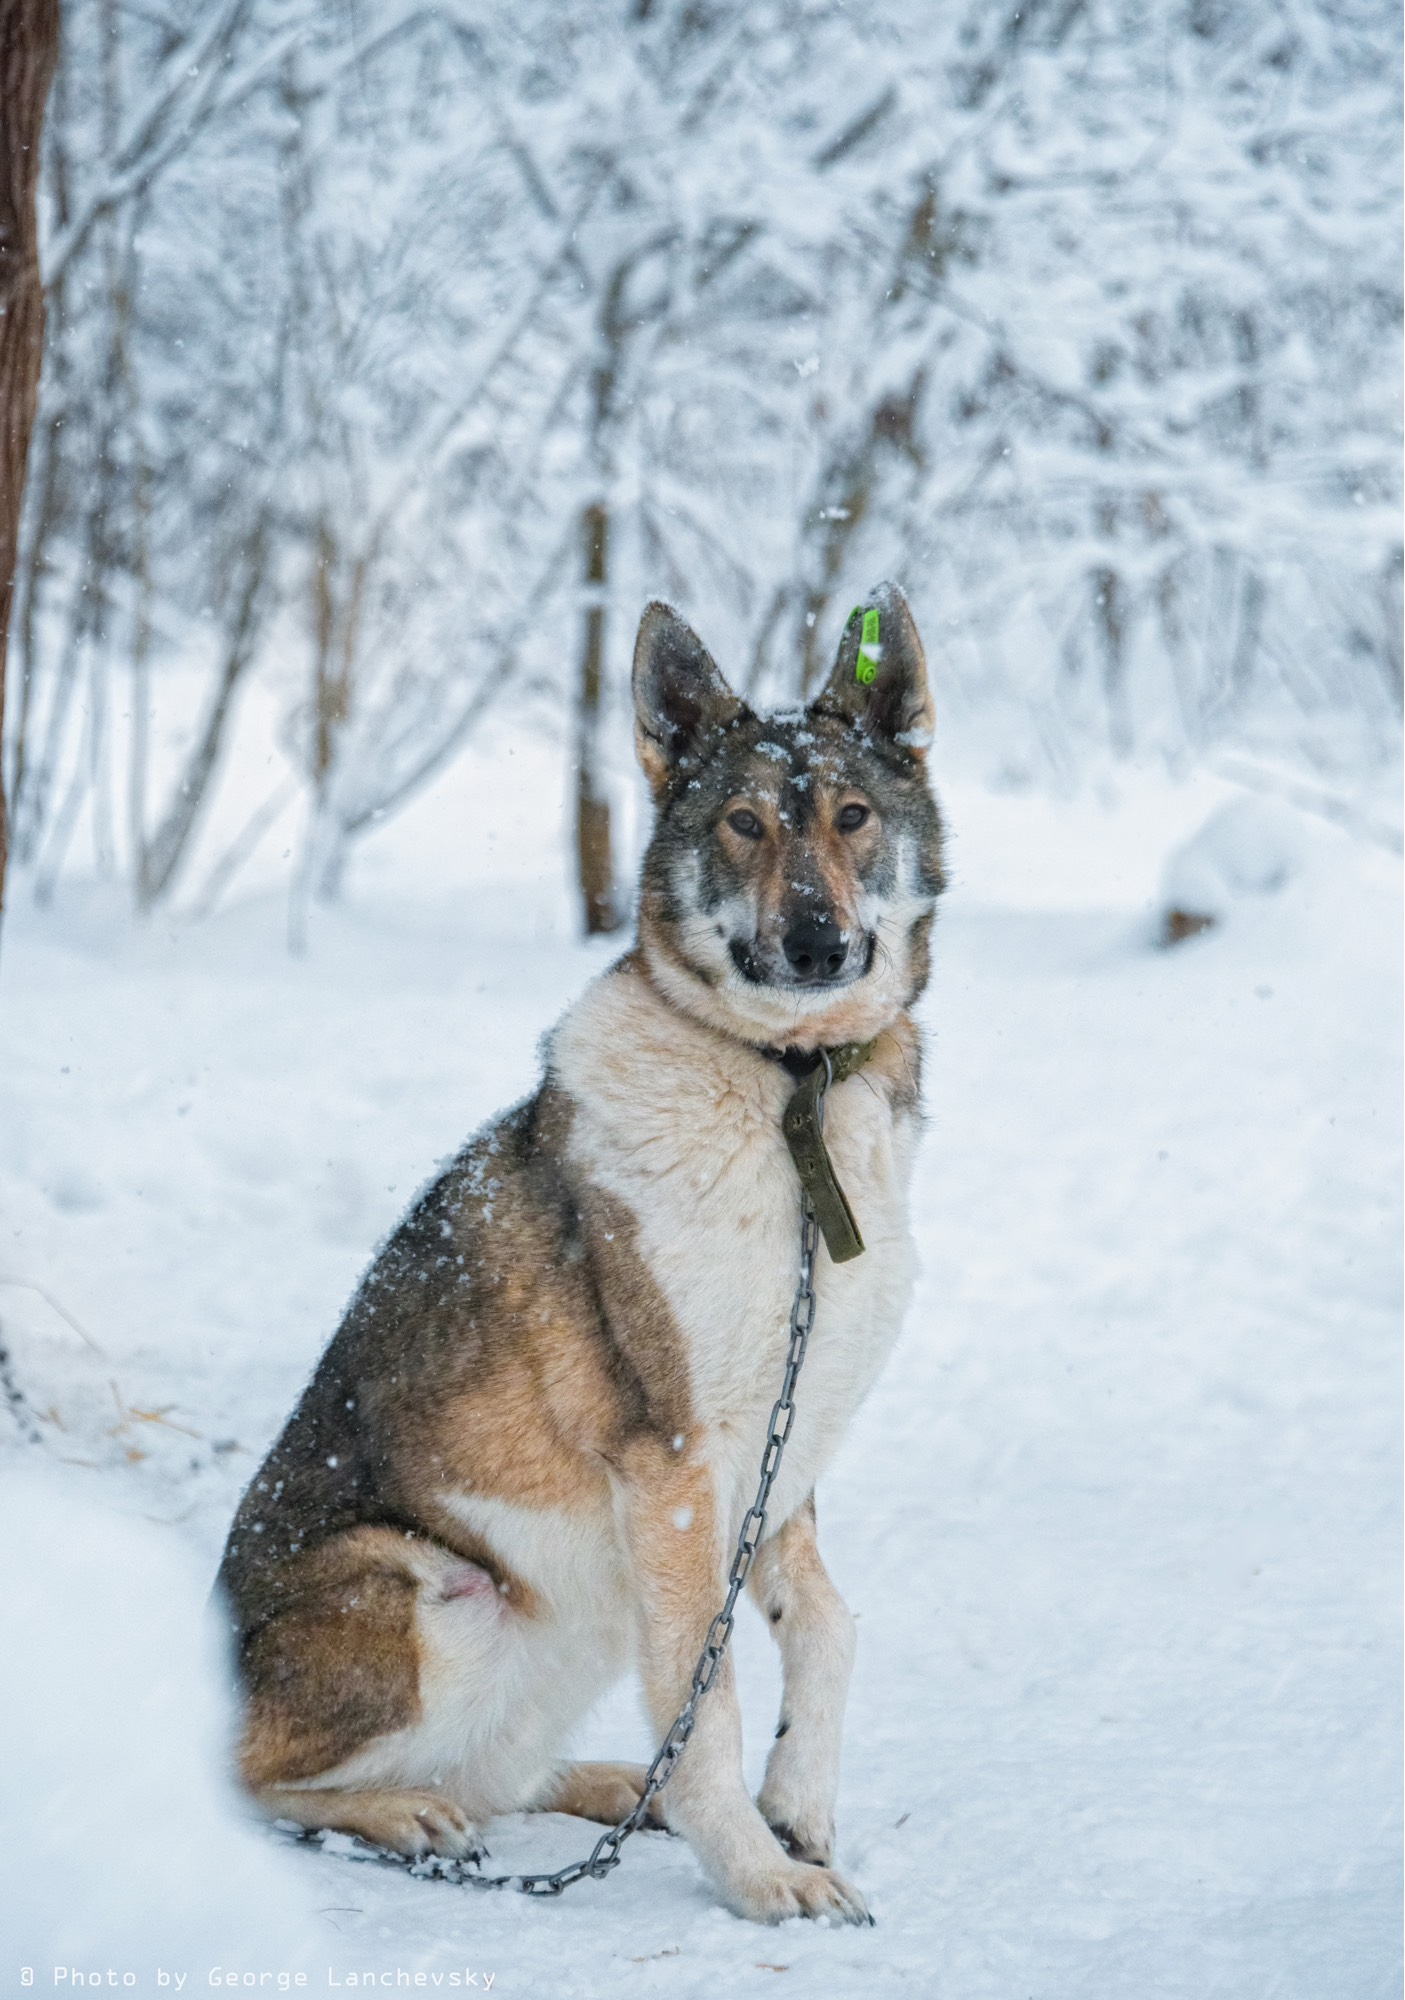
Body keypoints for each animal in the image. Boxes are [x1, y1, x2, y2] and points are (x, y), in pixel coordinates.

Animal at [217, 584, 944, 1928]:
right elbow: (708, 1699)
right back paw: (404, 1813)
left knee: (507, 1774)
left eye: (852, 816)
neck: (789, 1088)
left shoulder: (779, 1443)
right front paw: (758, 1871)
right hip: (429, 1591)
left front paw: (794, 1805)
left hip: (558, 1636)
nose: (816, 945)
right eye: (744, 824)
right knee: (246, 1778)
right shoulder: (676, 1459)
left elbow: (825, 1624)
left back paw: (610, 1790)